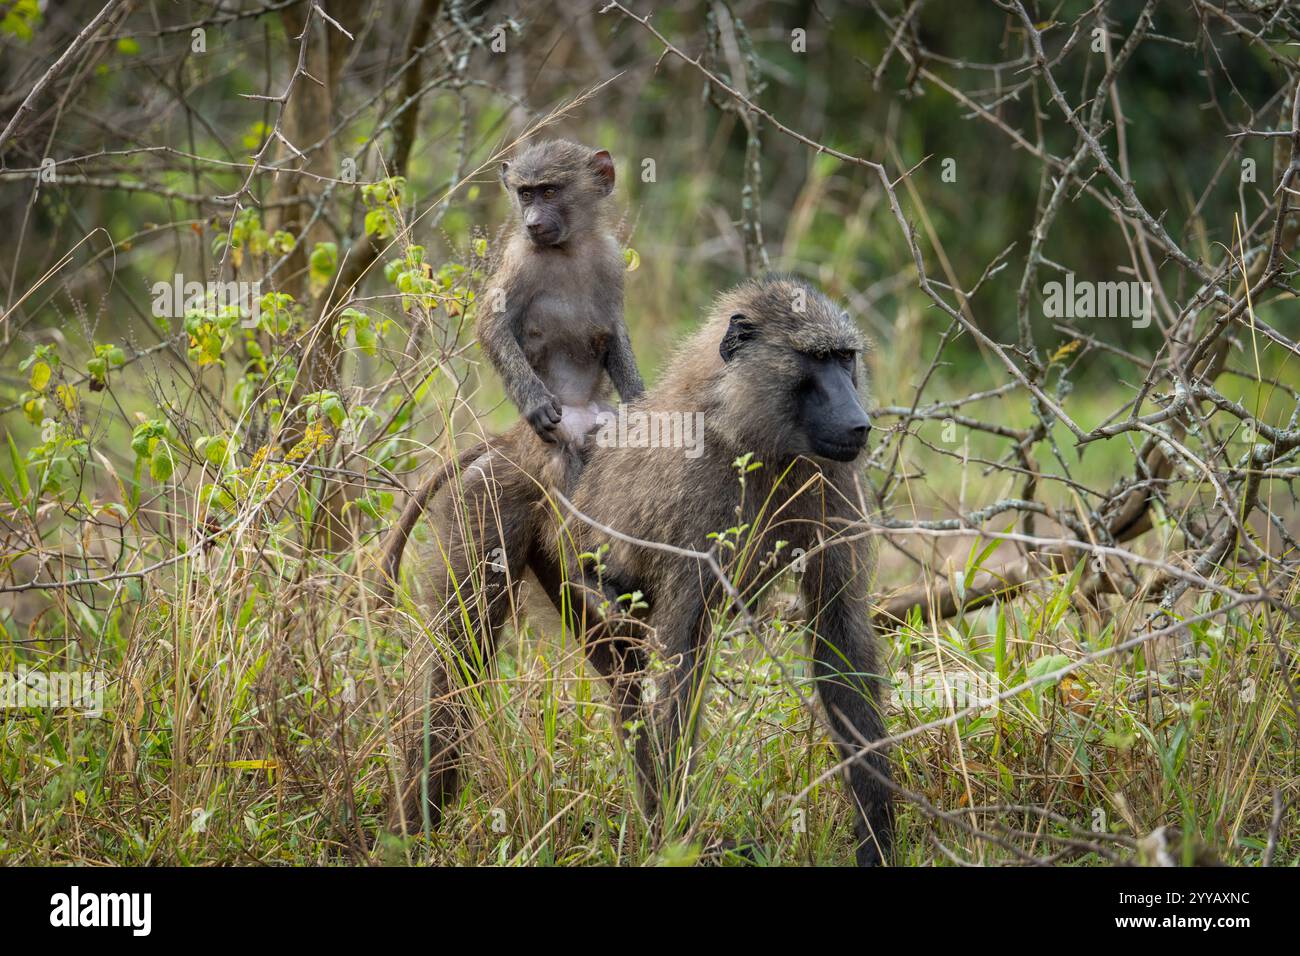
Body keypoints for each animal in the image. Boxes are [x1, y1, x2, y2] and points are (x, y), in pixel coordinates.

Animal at [388, 275, 892, 866]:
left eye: (845, 358)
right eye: (815, 359)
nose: (859, 423)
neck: (743, 431)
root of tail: (514, 445)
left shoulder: (834, 480)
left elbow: (839, 639)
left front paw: (879, 840)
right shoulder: (696, 504)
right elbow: (682, 657)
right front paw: (687, 838)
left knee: (625, 684)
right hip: (487, 501)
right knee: (456, 667)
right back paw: (410, 832)